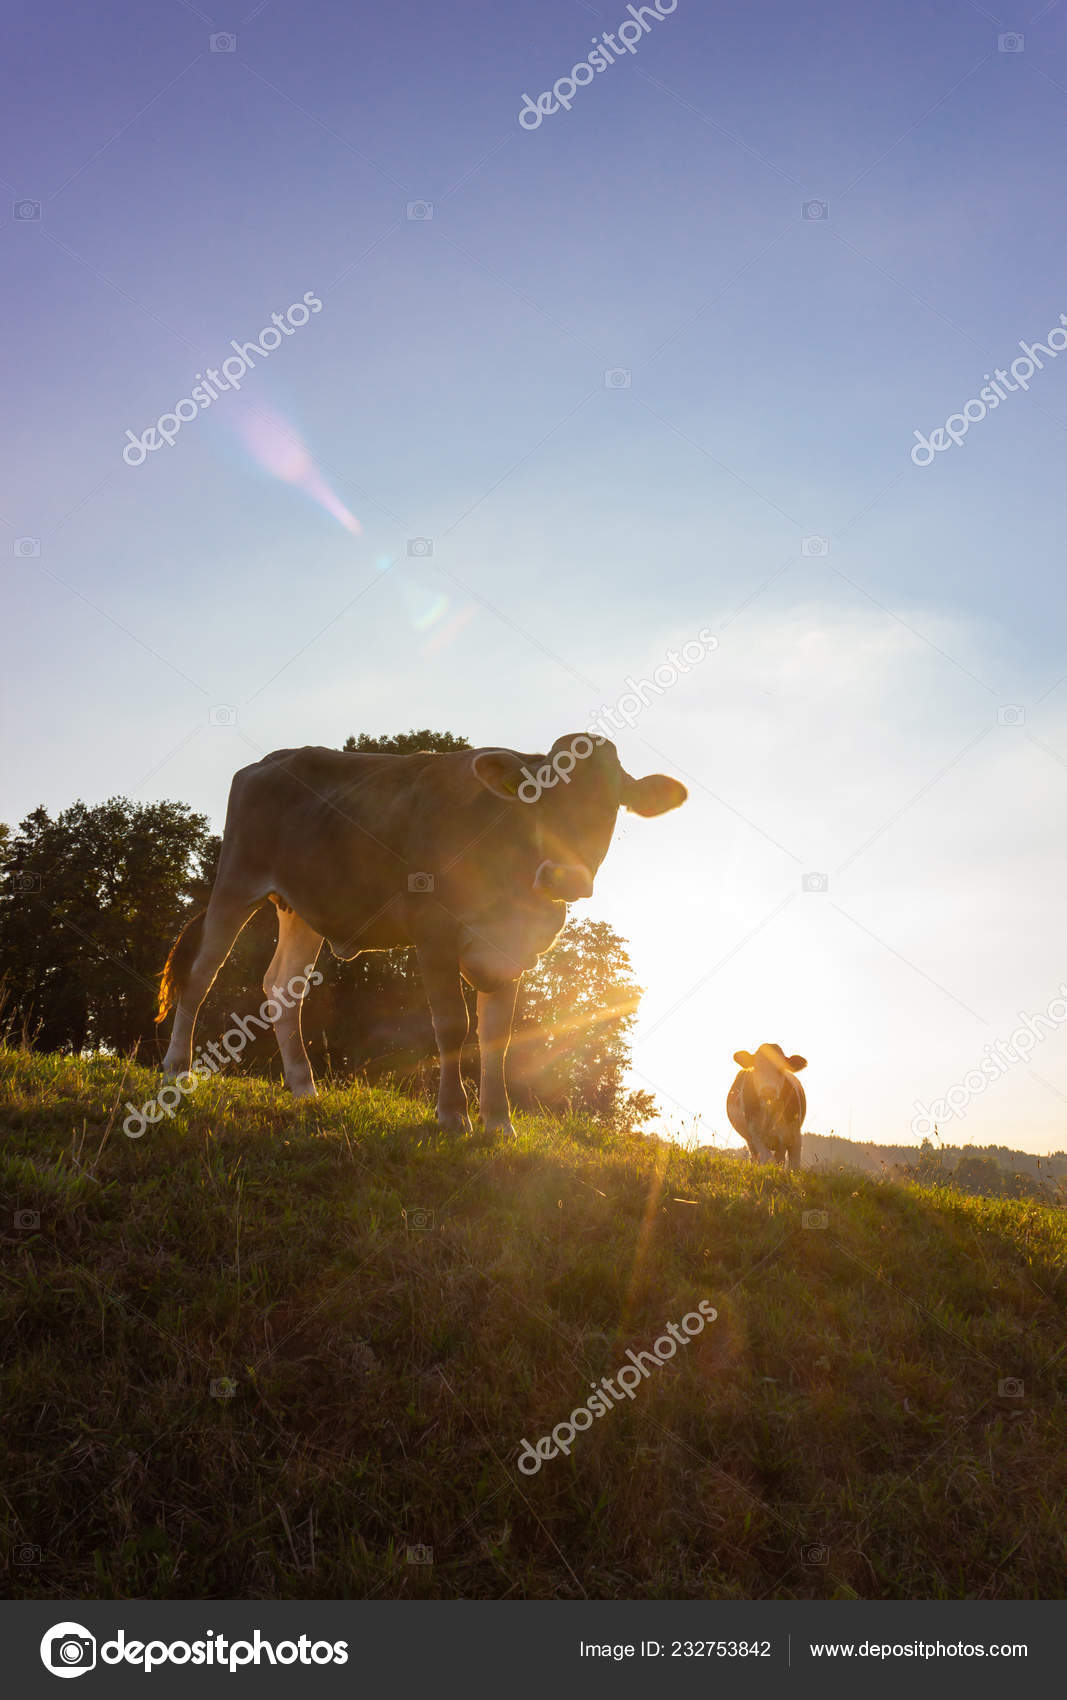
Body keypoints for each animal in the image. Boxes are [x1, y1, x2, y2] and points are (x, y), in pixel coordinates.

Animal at [157, 735, 687, 1134]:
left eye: (613, 804)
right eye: (538, 796)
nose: (566, 877)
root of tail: (269, 761)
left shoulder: (515, 947)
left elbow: (499, 1036)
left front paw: (499, 1123)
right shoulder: (434, 933)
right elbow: (453, 1025)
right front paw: (453, 1116)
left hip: (302, 909)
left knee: (283, 988)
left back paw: (305, 1089)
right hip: (237, 881)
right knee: (202, 974)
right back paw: (176, 1068)